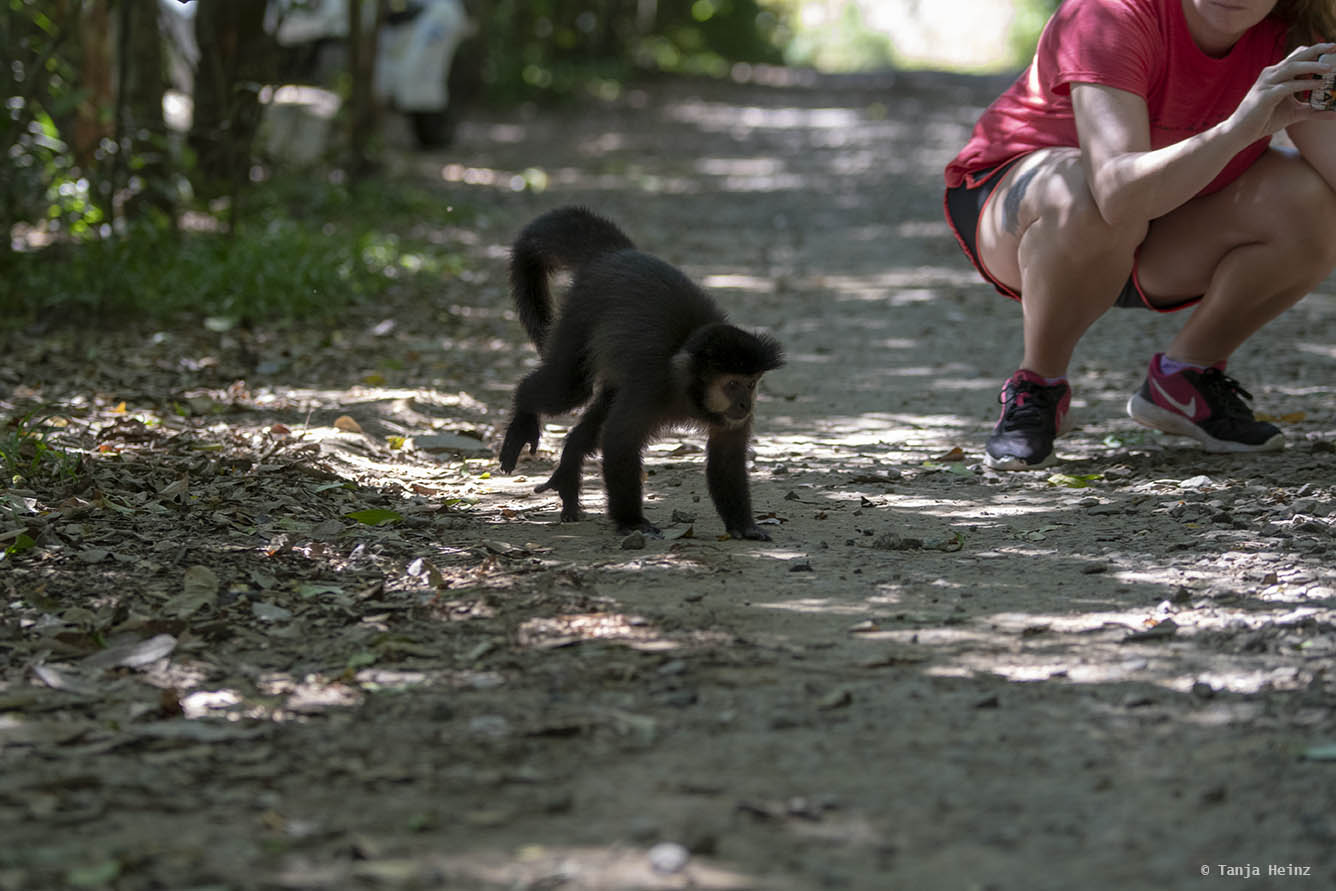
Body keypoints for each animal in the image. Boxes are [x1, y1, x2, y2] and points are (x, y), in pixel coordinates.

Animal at [497, 206, 784, 540]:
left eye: (751, 384)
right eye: (732, 384)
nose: (745, 404)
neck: (686, 388)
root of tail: (614, 254)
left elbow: (727, 457)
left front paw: (742, 525)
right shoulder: (652, 385)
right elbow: (620, 441)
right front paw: (631, 521)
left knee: (602, 401)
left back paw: (570, 462)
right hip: (582, 312)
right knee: (569, 388)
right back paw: (523, 415)